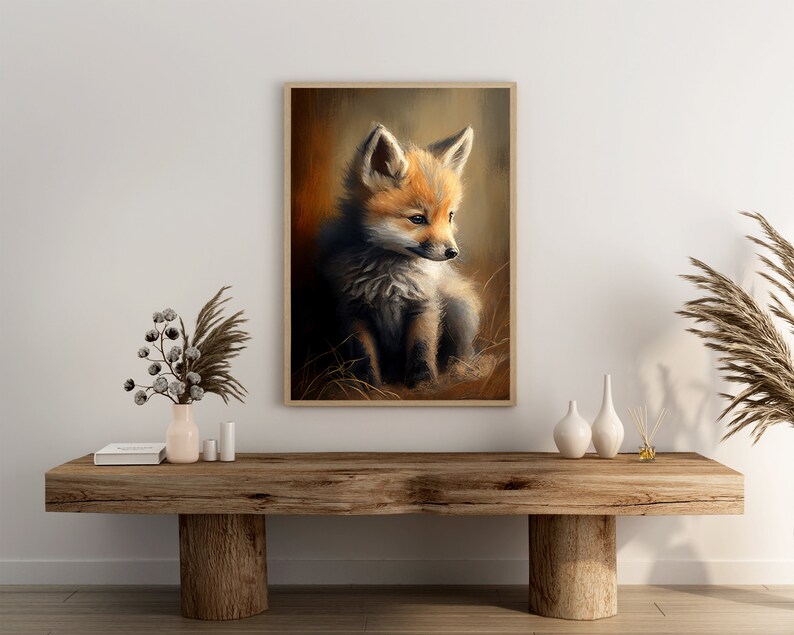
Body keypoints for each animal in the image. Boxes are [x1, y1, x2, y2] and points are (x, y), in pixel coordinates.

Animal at [319, 123, 482, 389]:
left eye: (449, 216)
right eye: (417, 219)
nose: (452, 252)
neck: (388, 279)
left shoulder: (424, 306)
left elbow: (421, 348)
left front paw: (424, 384)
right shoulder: (353, 311)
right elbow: (364, 354)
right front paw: (366, 387)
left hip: (460, 309)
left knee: (463, 351)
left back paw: (461, 370)